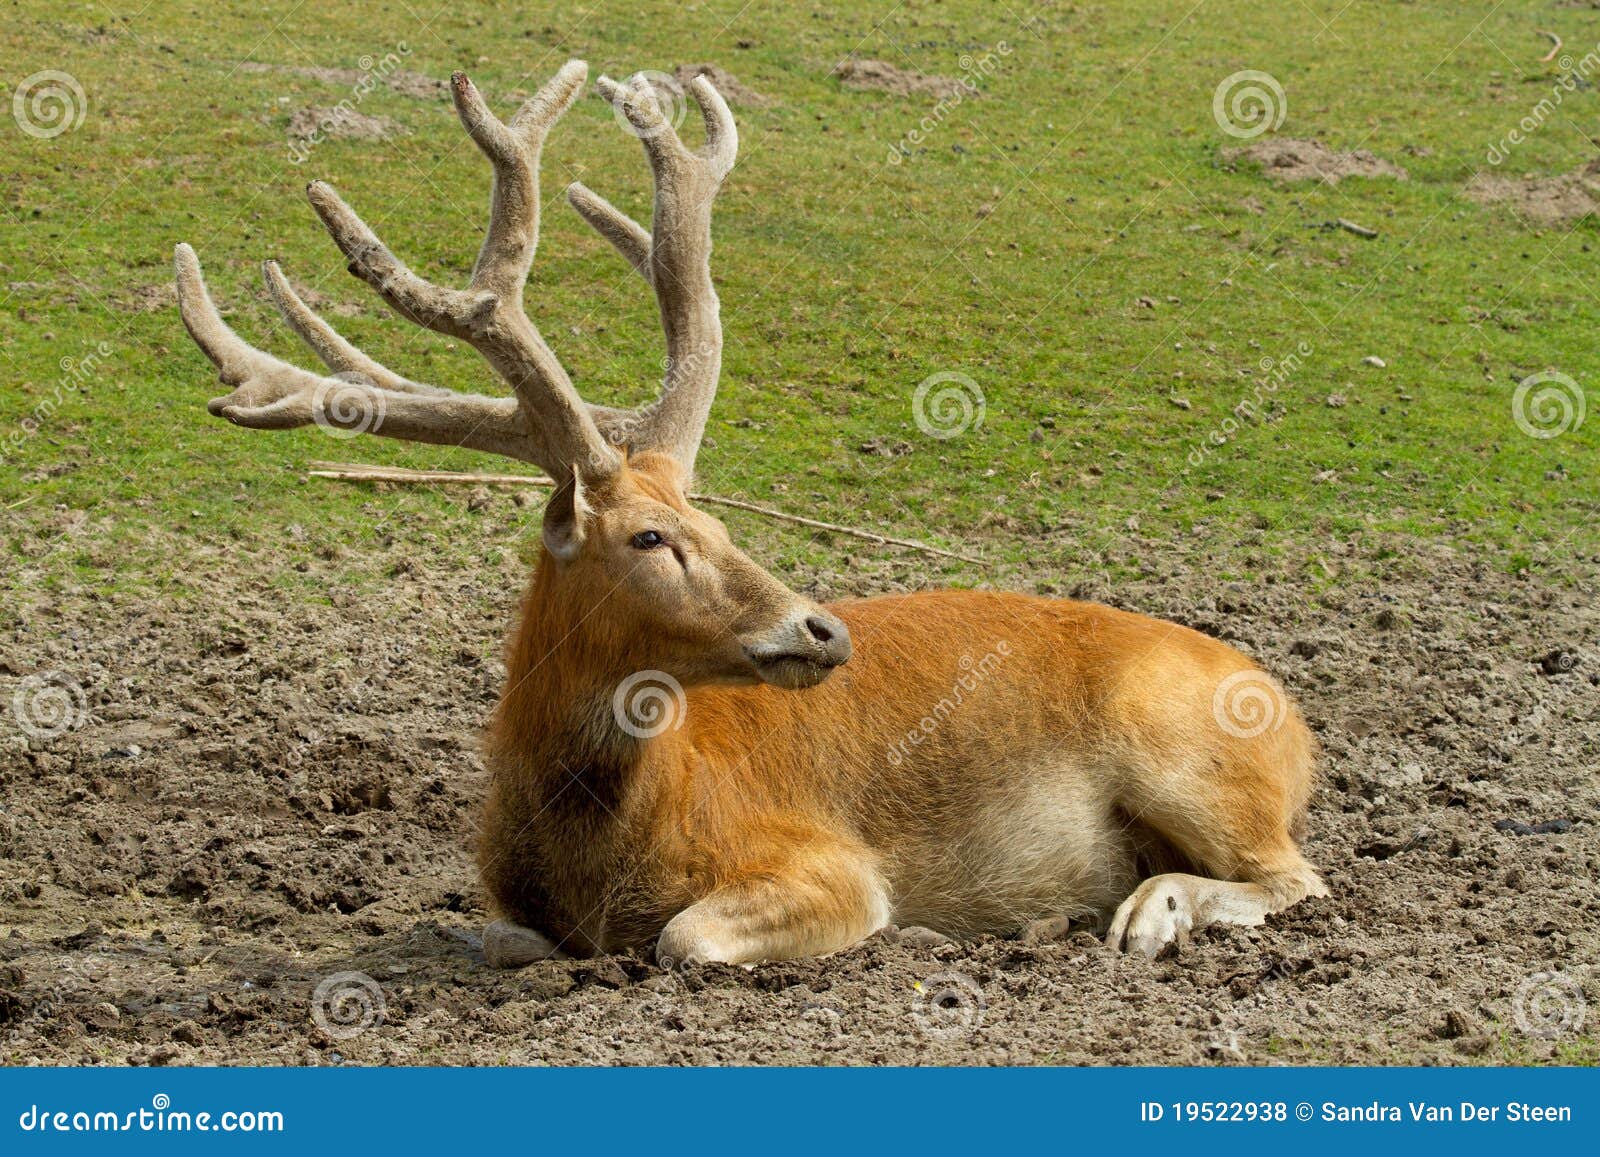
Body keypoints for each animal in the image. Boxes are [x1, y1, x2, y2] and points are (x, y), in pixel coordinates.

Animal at [173, 60, 1326, 966]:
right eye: (652, 534)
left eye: (718, 521)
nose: (823, 629)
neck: (601, 848)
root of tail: (1293, 715)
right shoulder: (507, 903)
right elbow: (494, 935)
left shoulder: (829, 861)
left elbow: (685, 936)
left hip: (1185, 754)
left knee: (1299, 874)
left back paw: (1146, 911)